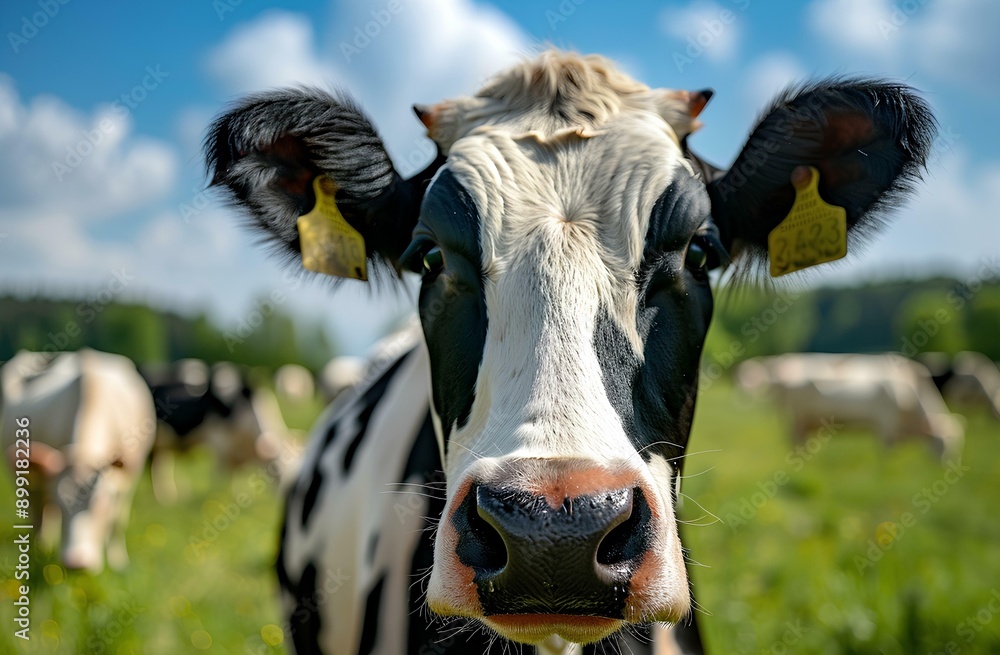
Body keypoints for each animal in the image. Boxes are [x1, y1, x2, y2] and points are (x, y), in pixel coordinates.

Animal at [0, 348, 156, 572]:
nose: (76, 563)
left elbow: (117, 521)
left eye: (101, 504)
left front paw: (118, 562)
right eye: (59, 503)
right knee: (39, 517)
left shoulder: (129, 478)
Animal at [735, 353, 964, 461]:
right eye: (941, 443)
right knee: (794, 441)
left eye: (957, 444)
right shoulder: (886, 425)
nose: (946, 466)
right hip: (796, 419)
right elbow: (886, 456)